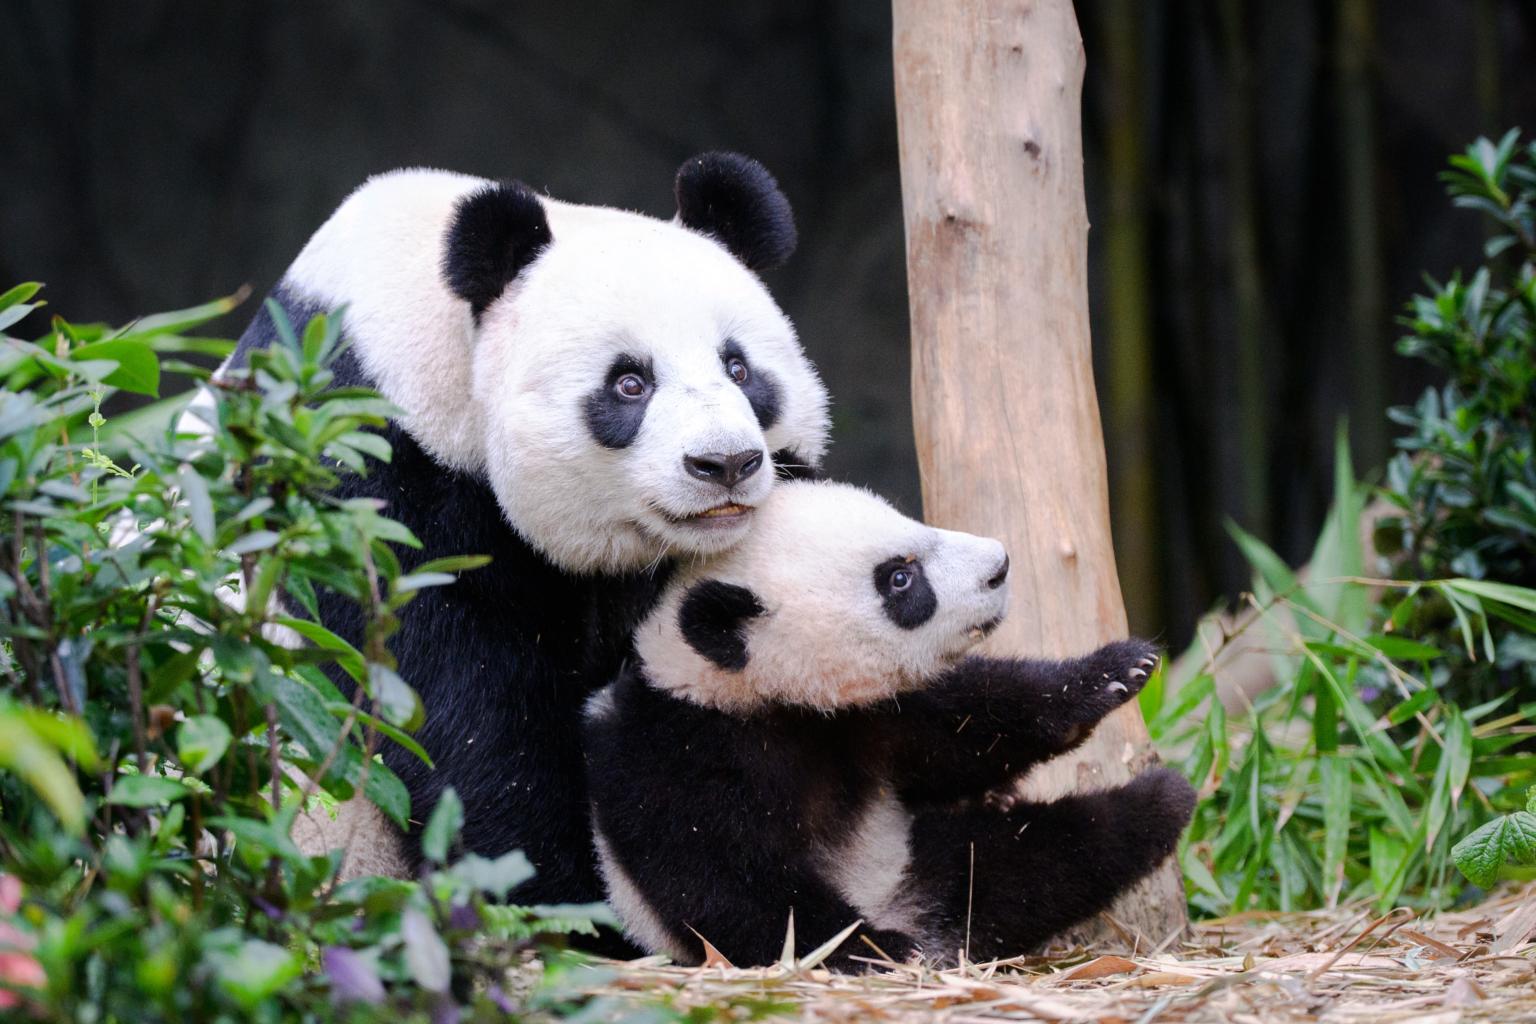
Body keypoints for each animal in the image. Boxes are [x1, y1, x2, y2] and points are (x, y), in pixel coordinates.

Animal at [228, 153, 831, 928]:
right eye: (629, 383)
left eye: (740, 368)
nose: (724, 463)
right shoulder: (362, 474)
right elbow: (459, 714)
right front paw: (571, 905)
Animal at [583, 480, 1196, 970]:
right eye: (900, 579)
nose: (999, 565)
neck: (752, 697)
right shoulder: (679, 757)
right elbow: (730, 886)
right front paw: (873, 950)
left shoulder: (872, 716)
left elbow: (967, 728)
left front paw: (1113, 672)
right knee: (1023, 863)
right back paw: (1153, 805)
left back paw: (1160, 800)